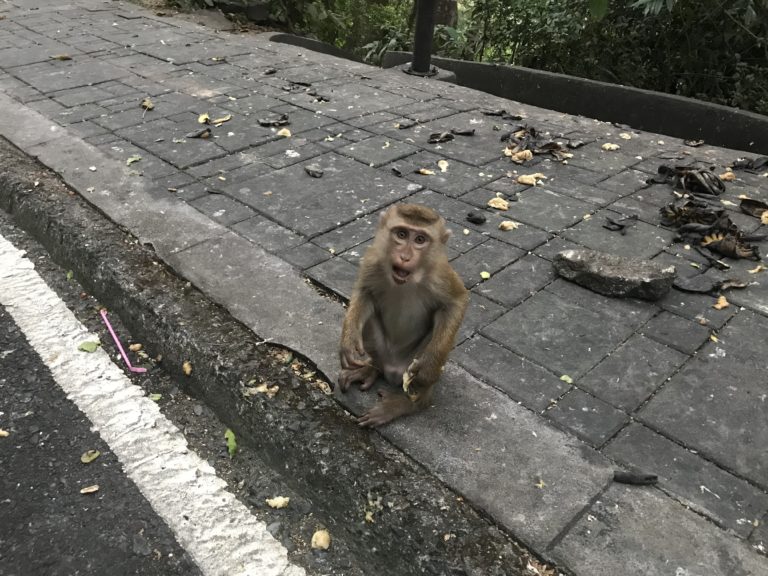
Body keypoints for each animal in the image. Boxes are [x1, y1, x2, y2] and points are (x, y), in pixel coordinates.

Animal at [338, 203, 469, 427]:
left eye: (420, 239)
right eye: (401, 234)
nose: (405, 257)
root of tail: (392, 372)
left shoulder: (440, 273)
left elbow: (456, 302)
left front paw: (427, 368)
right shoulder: (373, 258)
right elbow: (365, 292)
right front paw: (349, 339)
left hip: (410, 364)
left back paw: (409, 402)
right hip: (383, 354)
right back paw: (372, 368)